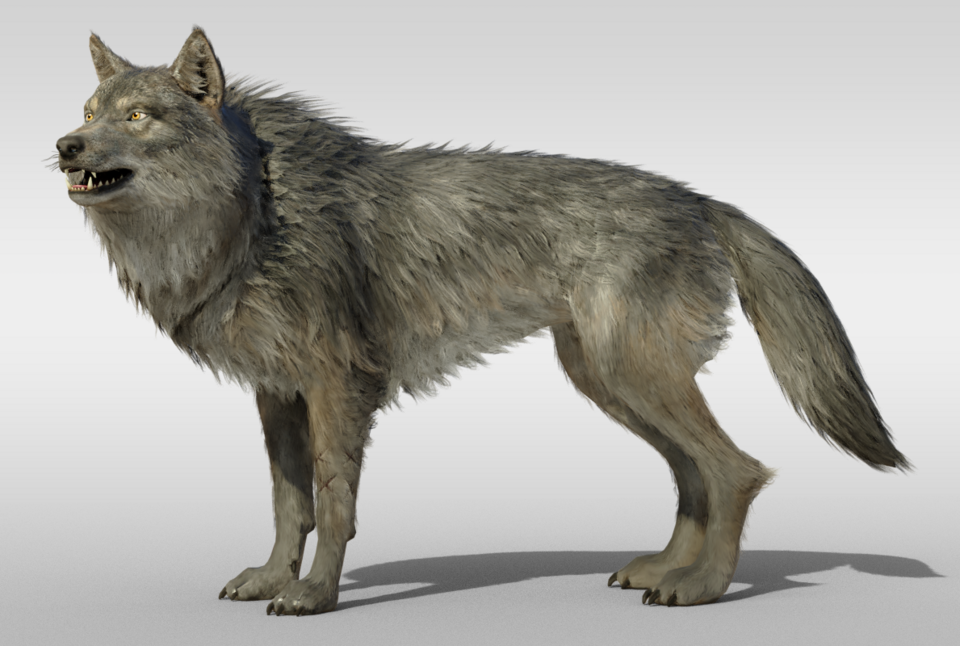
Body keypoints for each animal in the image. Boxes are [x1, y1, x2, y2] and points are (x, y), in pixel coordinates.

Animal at [56, 28, 908, 614]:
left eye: (139, 115)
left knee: (736, 469)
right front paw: (271, 577)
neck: (253, 210)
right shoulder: (277, 393)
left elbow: (332, 500)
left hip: (633, 378)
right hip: (609, 382)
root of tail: (702, 200)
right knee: (693, 474)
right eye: (92, 112)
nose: (64, 146)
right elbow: (287, 502)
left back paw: (702, 591)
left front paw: (315, 597)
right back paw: (667, 572)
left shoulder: (337, 386)